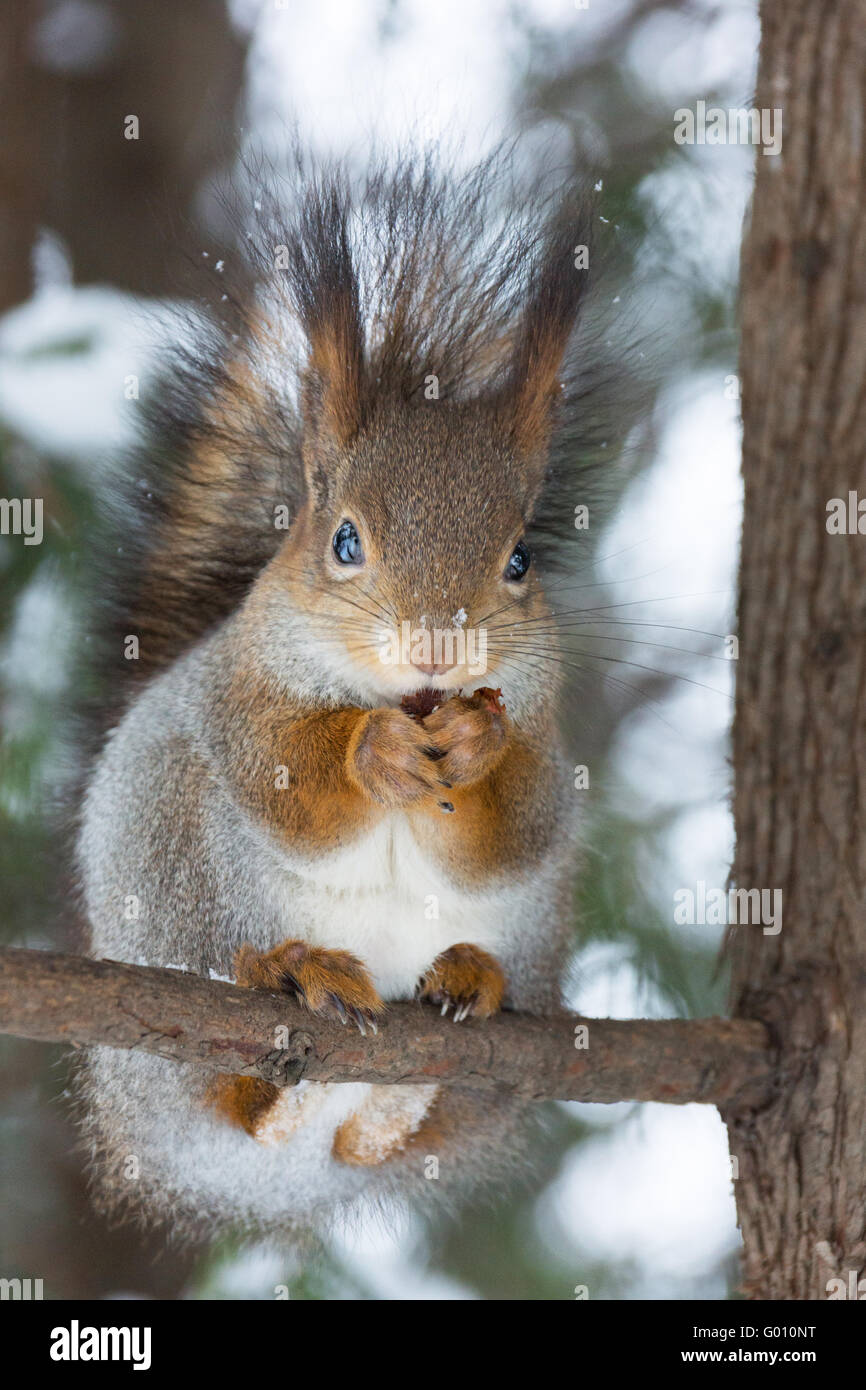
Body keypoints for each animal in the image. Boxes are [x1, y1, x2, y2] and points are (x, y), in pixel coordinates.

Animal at [75, 148, 617, 1239]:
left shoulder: (546, 738)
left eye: (520, 559)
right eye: (344, 541)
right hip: (183, 891)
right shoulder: (234, 697)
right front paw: (369, 753)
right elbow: (287, 788)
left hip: (526, 944)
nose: (438, 649)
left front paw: (477, 752)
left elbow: (516, 827)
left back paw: (439, 1027)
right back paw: (293, 980)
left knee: (389, 1125)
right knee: (236, 1085)